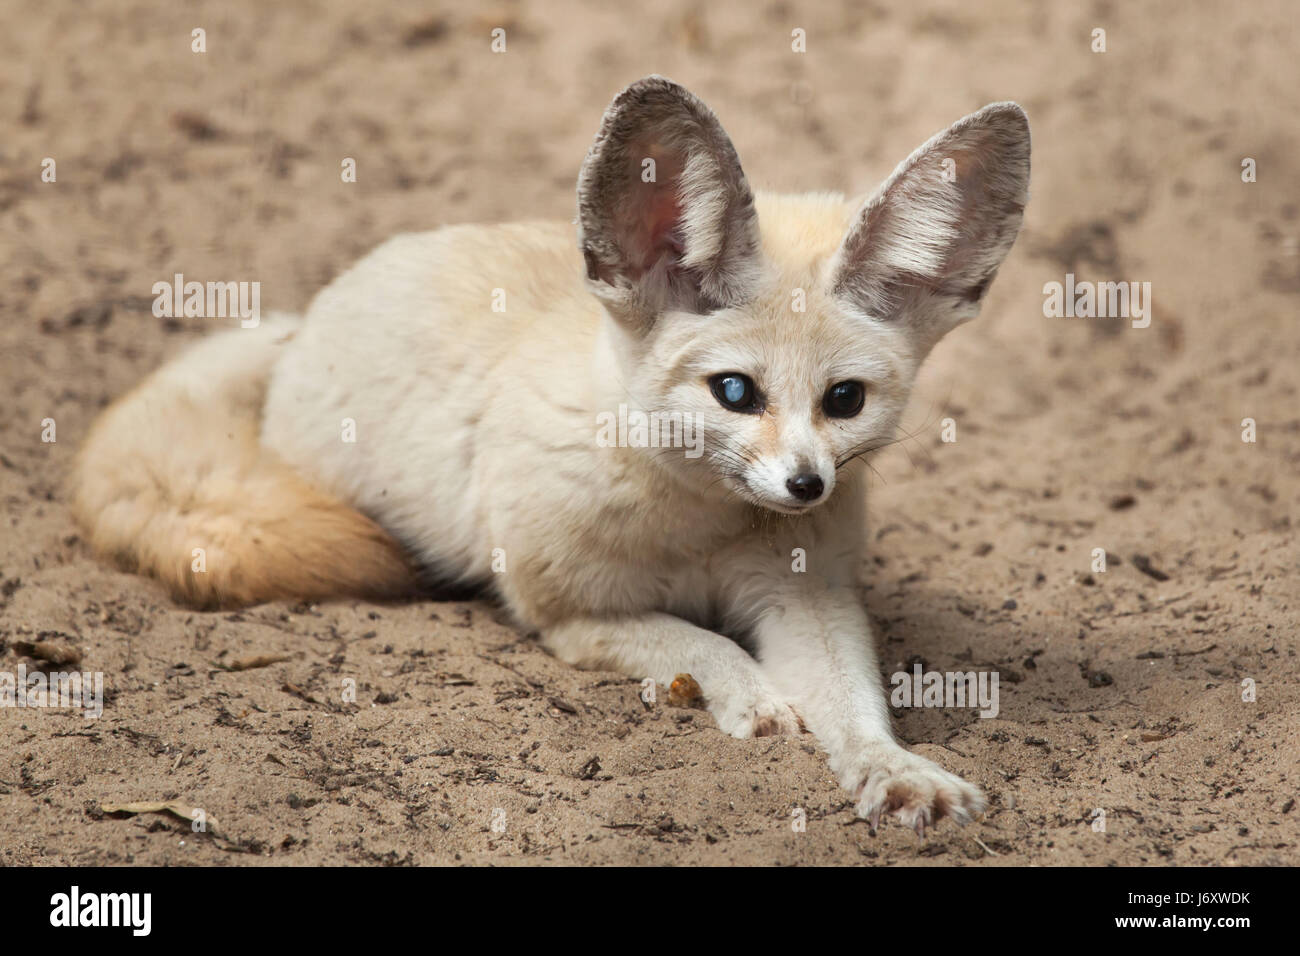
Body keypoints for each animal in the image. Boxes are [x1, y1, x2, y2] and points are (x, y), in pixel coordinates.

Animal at [74, 76, 1030, 835]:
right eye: (734, 392)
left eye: (844, 401)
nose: (805, 485)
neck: (698, 530)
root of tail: (302, 319)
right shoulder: (567, 612)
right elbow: (701, 646)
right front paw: (755, 697)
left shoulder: (807, 597)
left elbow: (857, 705)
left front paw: (897, 770)